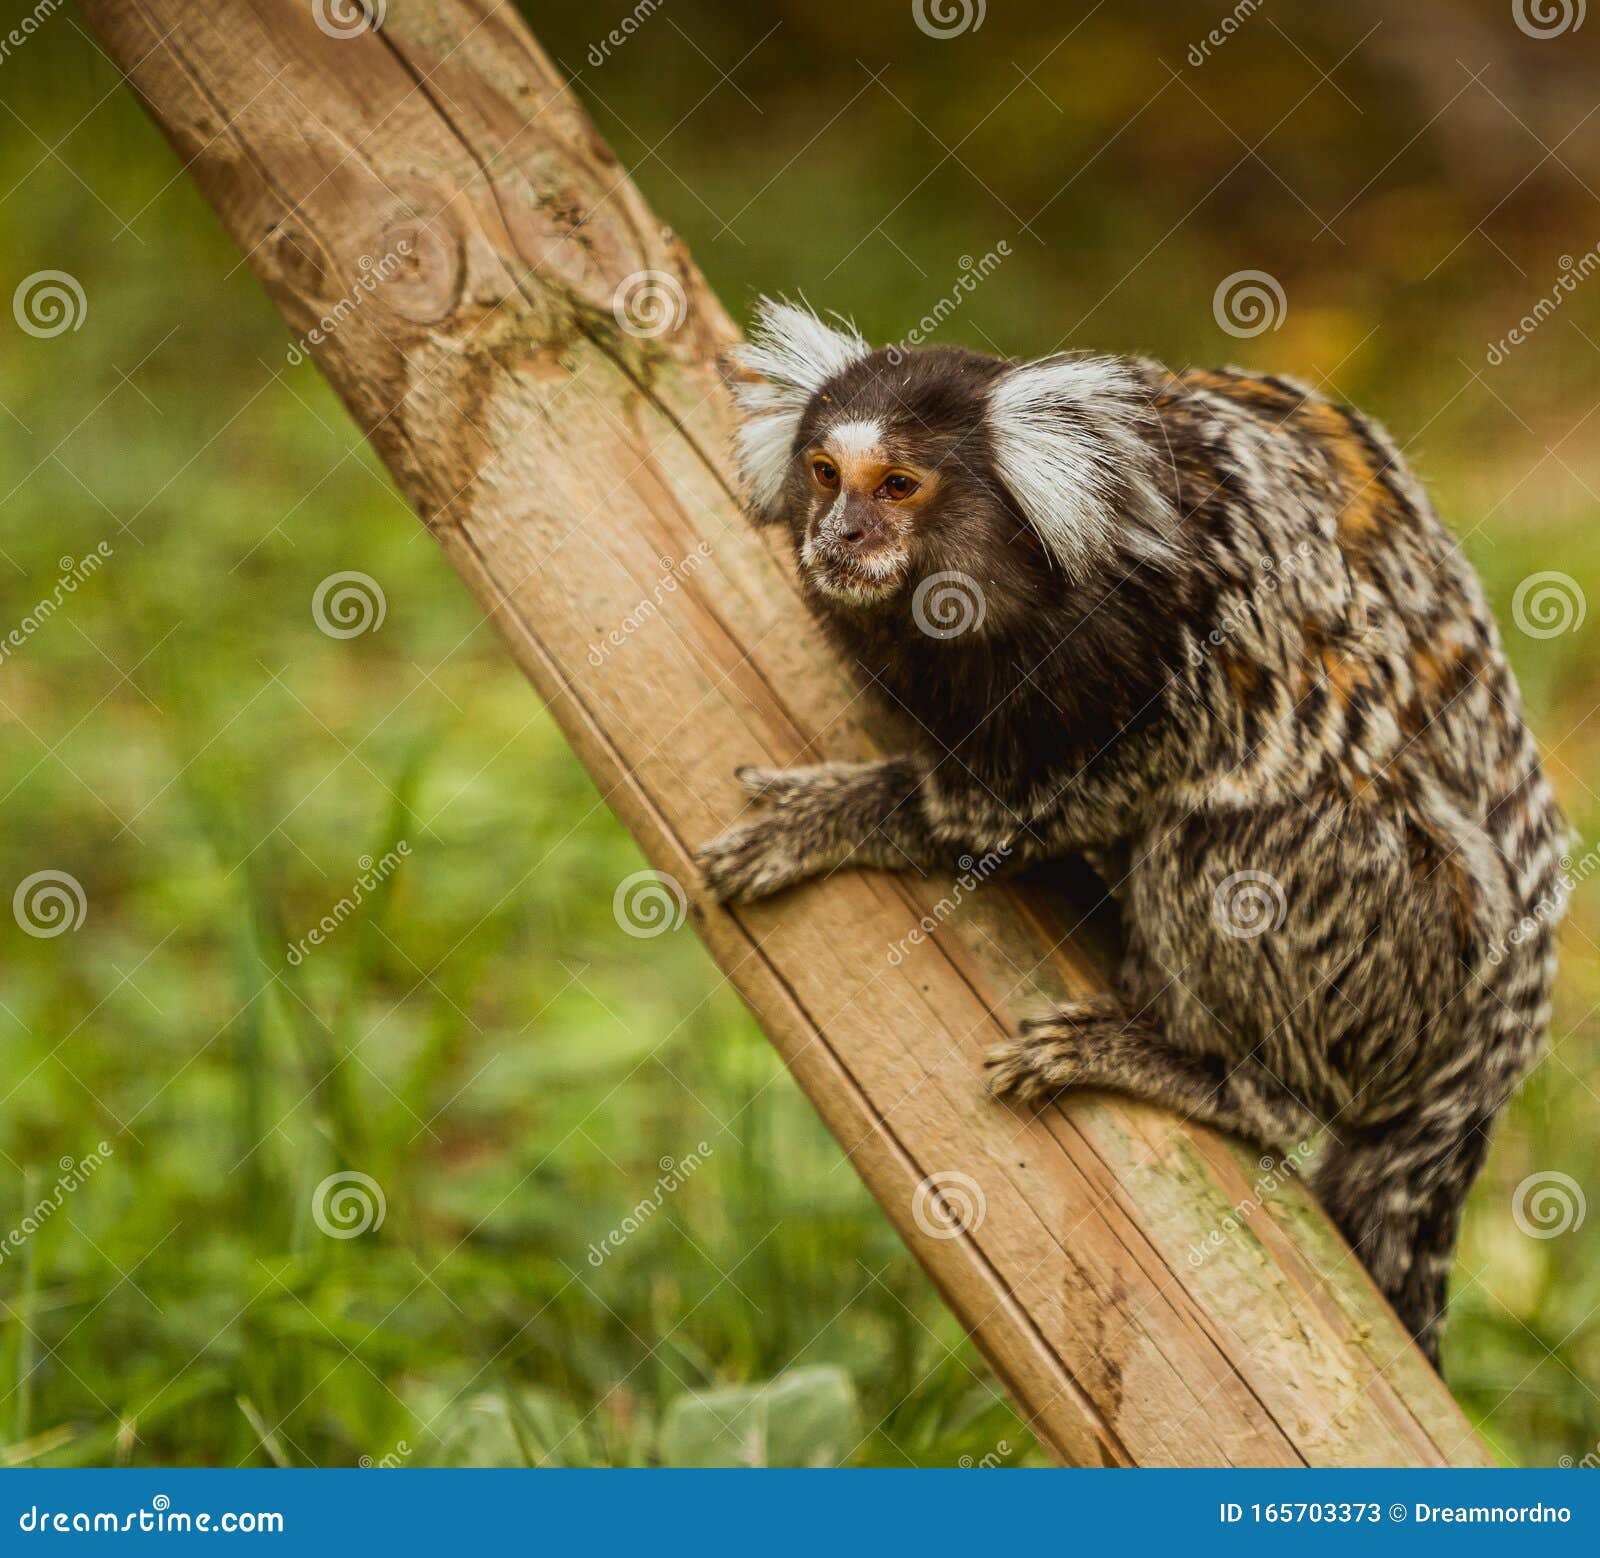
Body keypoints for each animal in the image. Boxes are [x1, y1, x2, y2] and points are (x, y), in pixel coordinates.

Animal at [694, 298, 1570, 1369]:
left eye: (899, 485)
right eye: (824, 472)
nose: (841, 532)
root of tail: (1496, 1043)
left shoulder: (1193, 623)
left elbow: (1078, 794)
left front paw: (849, 814)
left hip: (1403, 953)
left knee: (1233, 839)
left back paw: (1217, 1076)